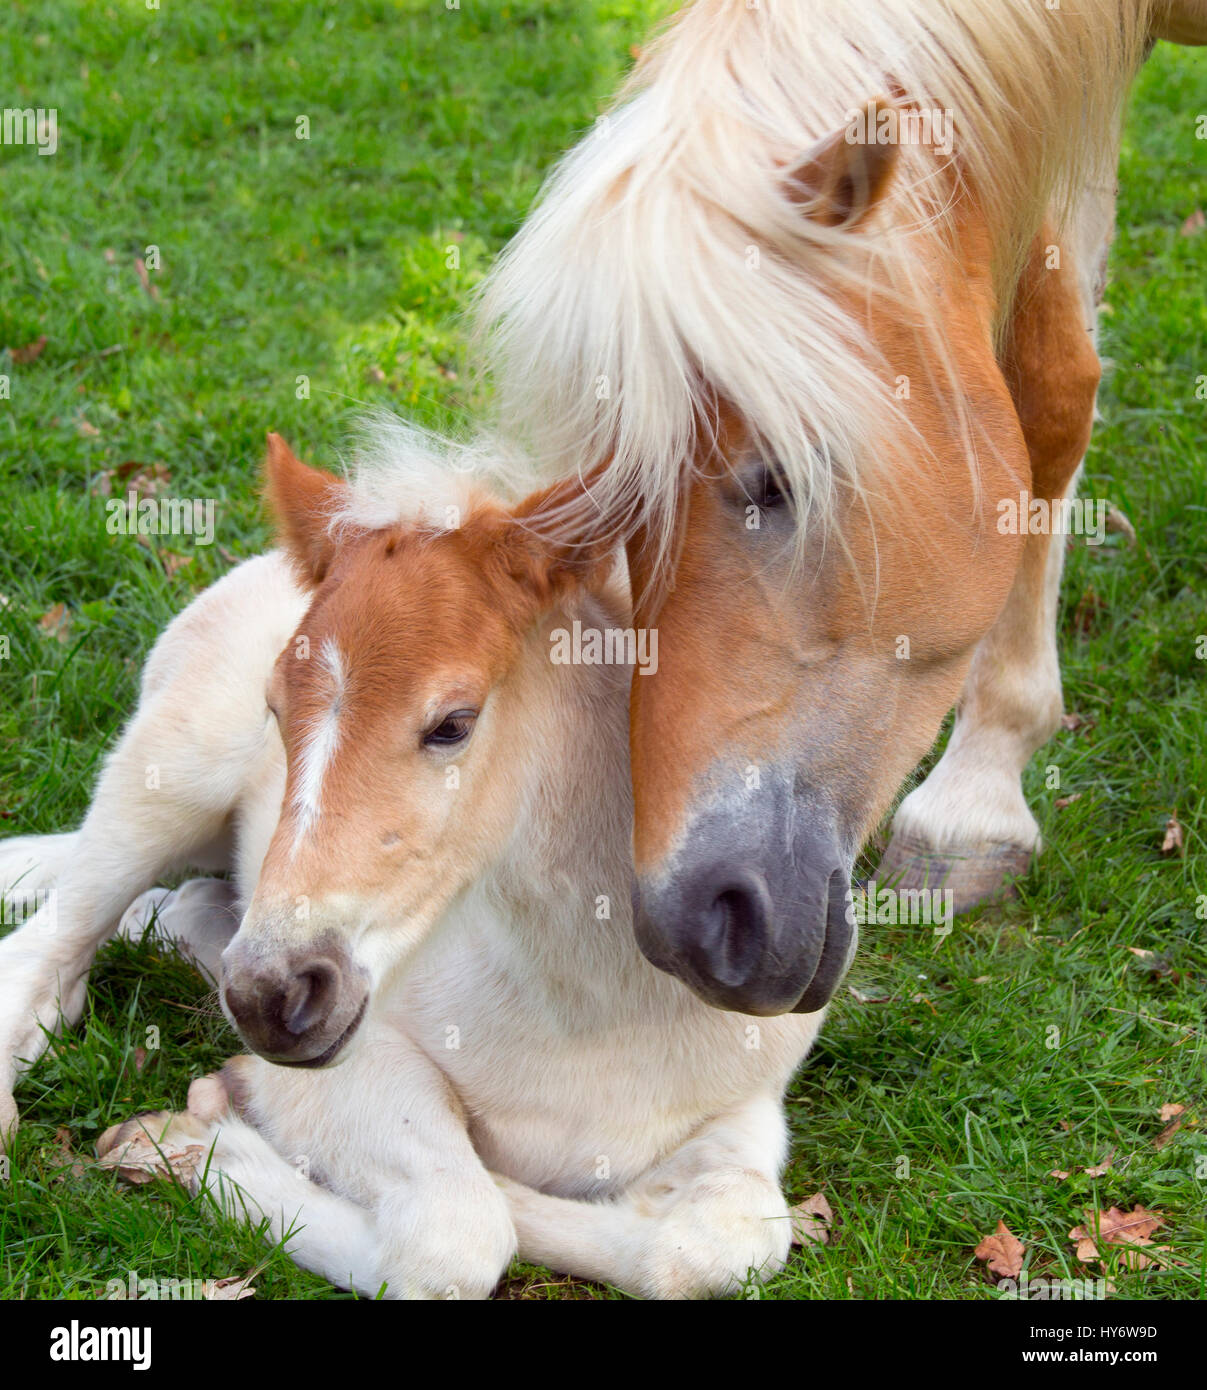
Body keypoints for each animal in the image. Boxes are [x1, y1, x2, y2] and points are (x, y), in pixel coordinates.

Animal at [1, 428, 821, 1298]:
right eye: (275, 709)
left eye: (453, 723)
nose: (270, 997)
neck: (597, 1004)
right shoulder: (367, 1052)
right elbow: (455, 1235)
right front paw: (198, 1137)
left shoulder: (746, 1106)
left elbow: (723, 1242)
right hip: (167, 778)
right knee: (54, 939)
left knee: (176, 905)